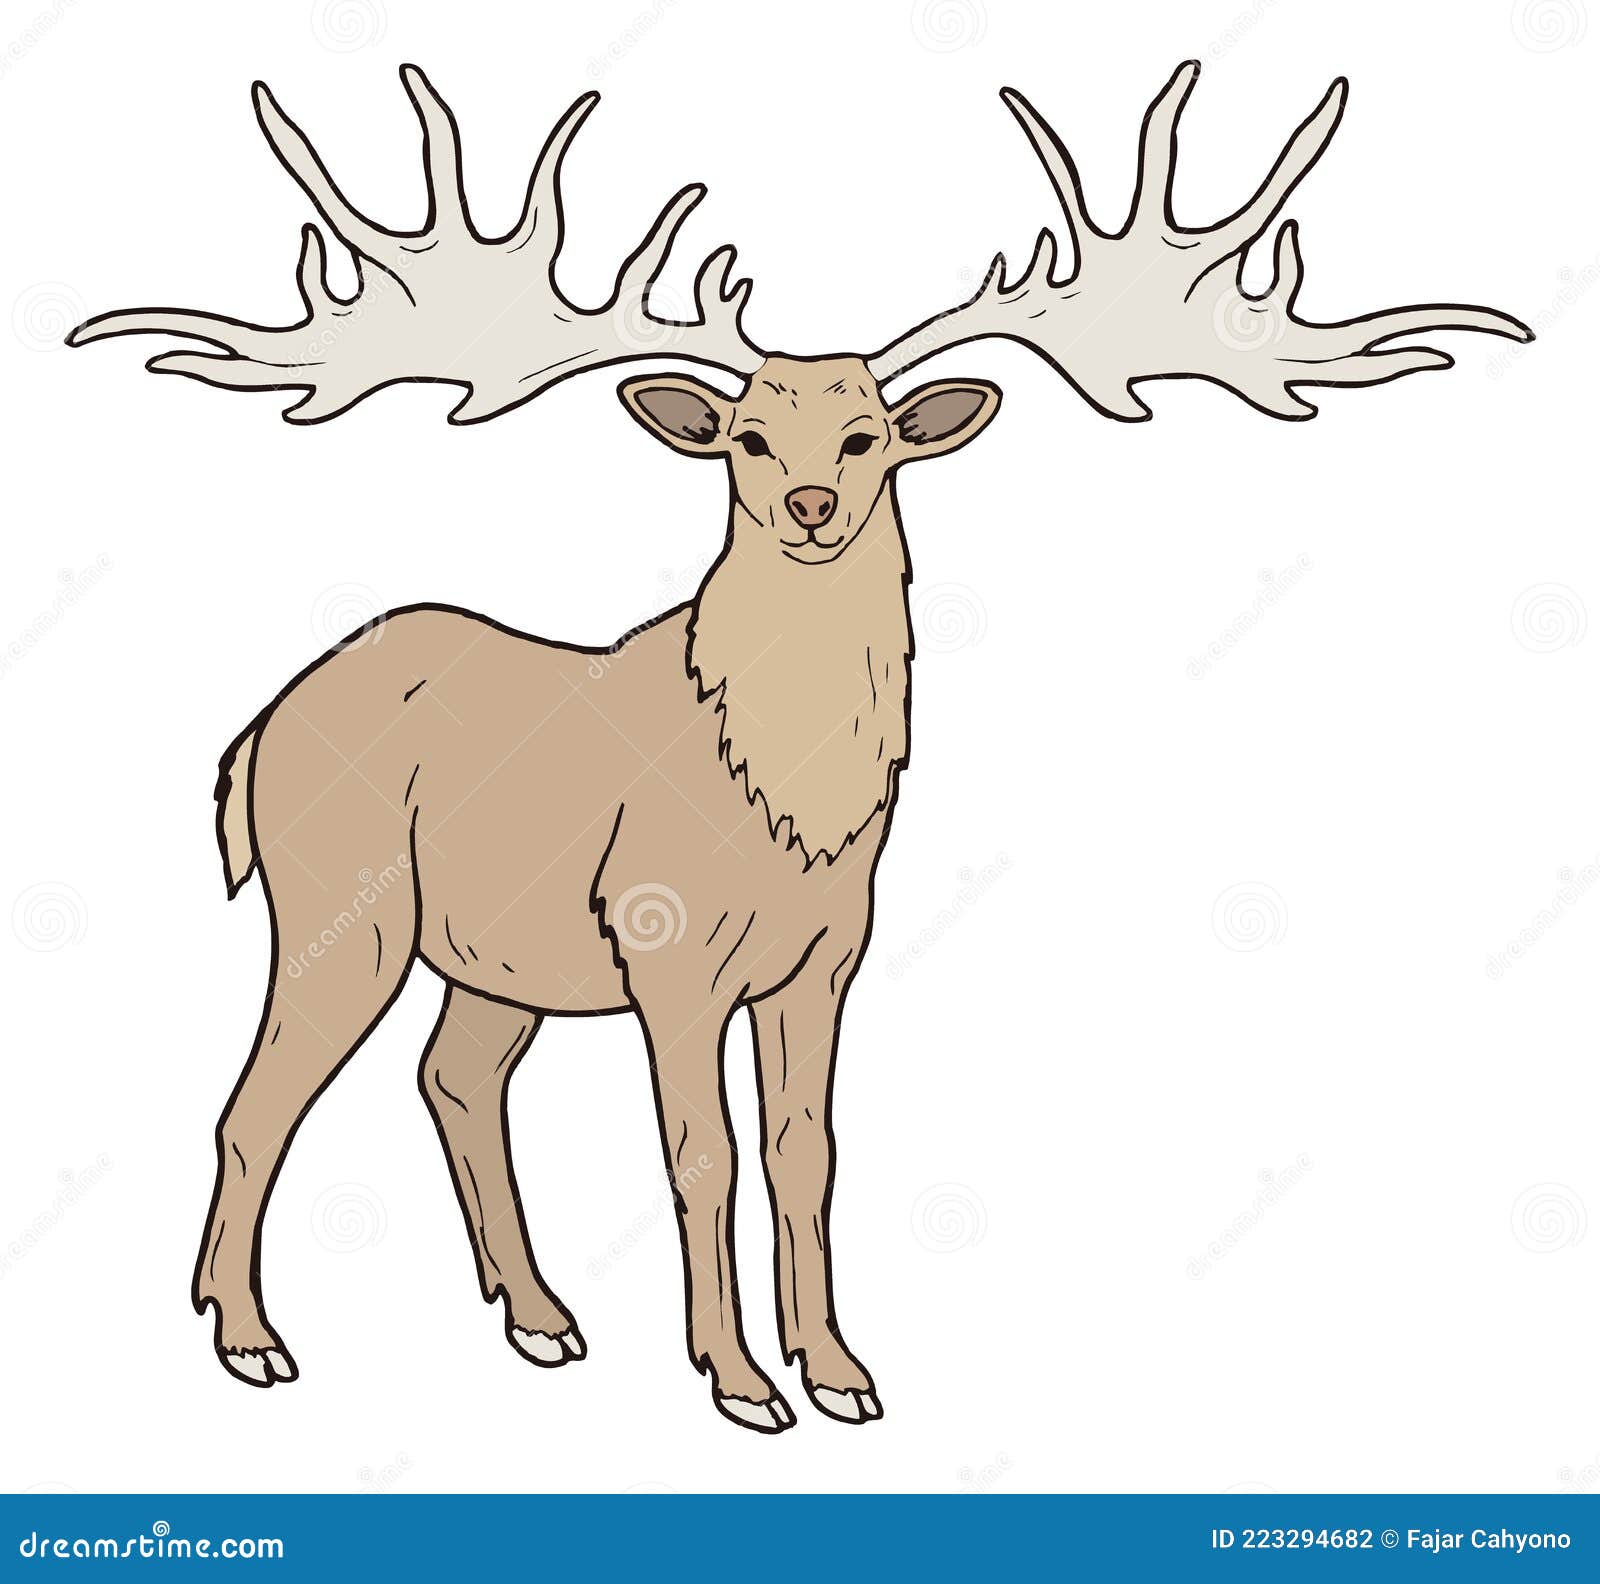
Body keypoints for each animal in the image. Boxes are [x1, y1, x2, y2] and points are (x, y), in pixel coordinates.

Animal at [70, 62, 1528, 1433]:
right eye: (748, 438)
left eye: (870, 433)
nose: (817, 503)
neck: (787, 809)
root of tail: (254, 735)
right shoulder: (662, 943)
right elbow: (700, 1157)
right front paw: (737, 1381)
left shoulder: (827, 956)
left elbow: (803, 1155)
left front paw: (837, 1369)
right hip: (343, 899)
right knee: (258, 1099)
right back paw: (249, 1336)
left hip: (494, 949)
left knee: (454, 1077)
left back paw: (537, 1317)